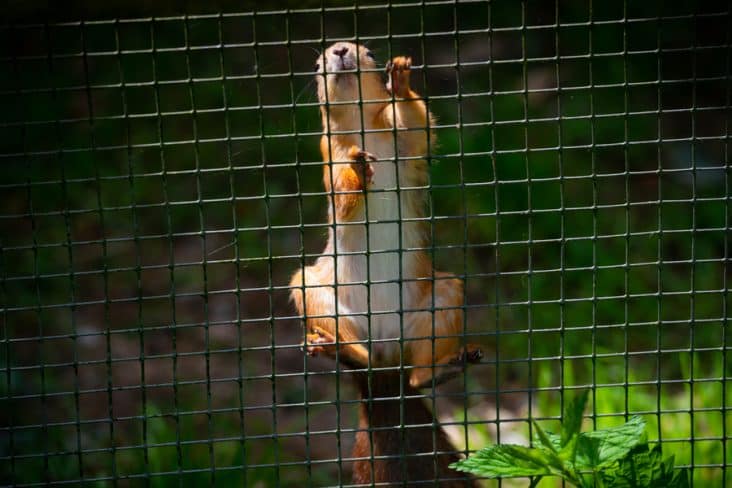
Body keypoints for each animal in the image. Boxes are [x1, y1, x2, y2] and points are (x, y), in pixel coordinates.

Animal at [290, 42, 481, 485]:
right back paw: (339, 347)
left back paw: (437, 369)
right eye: (318, 62)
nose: (340, 49)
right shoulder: (327, 152)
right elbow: (341, 193)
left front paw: (402, 80)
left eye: (369, 52)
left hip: (439, 300)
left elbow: (415, 123)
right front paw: (358, 170)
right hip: (312, 290)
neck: (360, 126)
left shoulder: (404, 140)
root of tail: (385, 358)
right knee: (351, 347)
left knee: (418, 370)